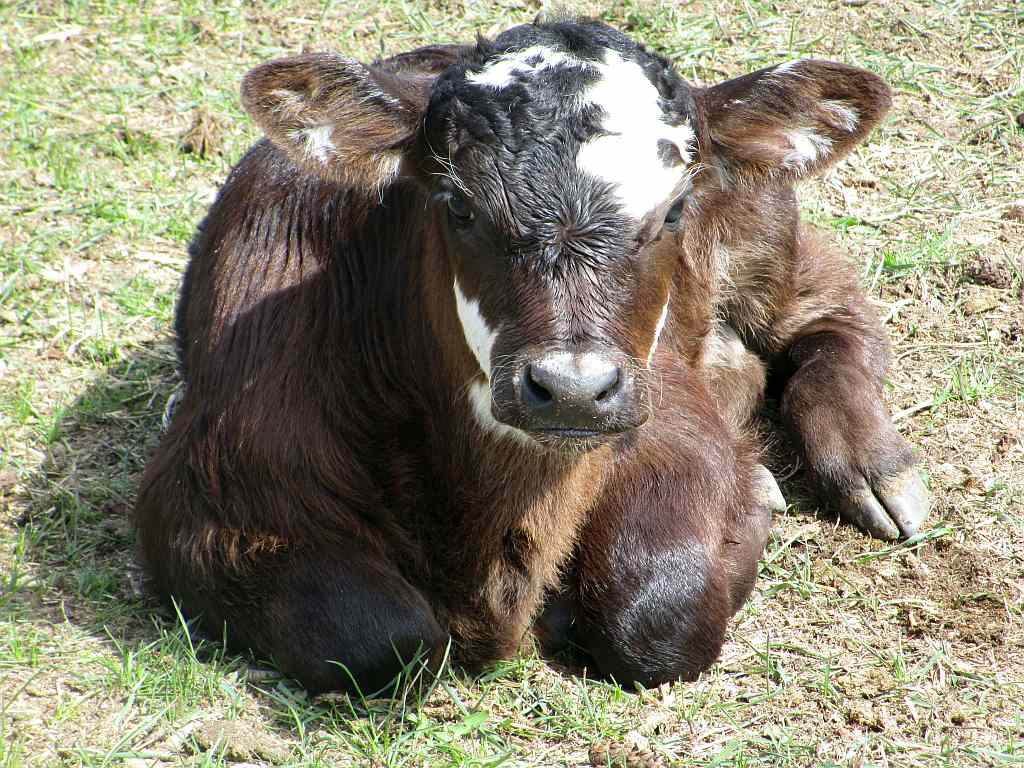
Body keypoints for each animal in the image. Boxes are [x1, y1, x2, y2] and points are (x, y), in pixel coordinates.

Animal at [135, 17, 929, 695]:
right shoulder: (216, 493)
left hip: (763, 233)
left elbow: (656, 617)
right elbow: (376, 637)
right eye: (457, 206)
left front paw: (751, 507)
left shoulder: (665, 408)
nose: (573, 389)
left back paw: (874, 466)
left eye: (674, 209)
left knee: (828, 312)